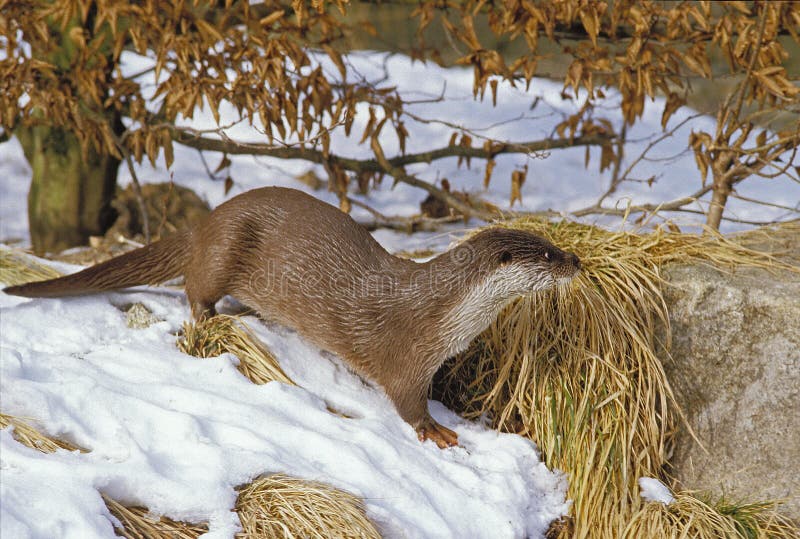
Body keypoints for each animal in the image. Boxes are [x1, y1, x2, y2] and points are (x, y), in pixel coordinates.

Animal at [4, 187, 581, 448]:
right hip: (222, 254)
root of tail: (204, 223)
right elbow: (407, 404)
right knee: (195, 288)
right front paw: (437, 431)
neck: (443, 313)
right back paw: (211, 319)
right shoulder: (406, 356)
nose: (576, 261)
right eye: (547, 255)